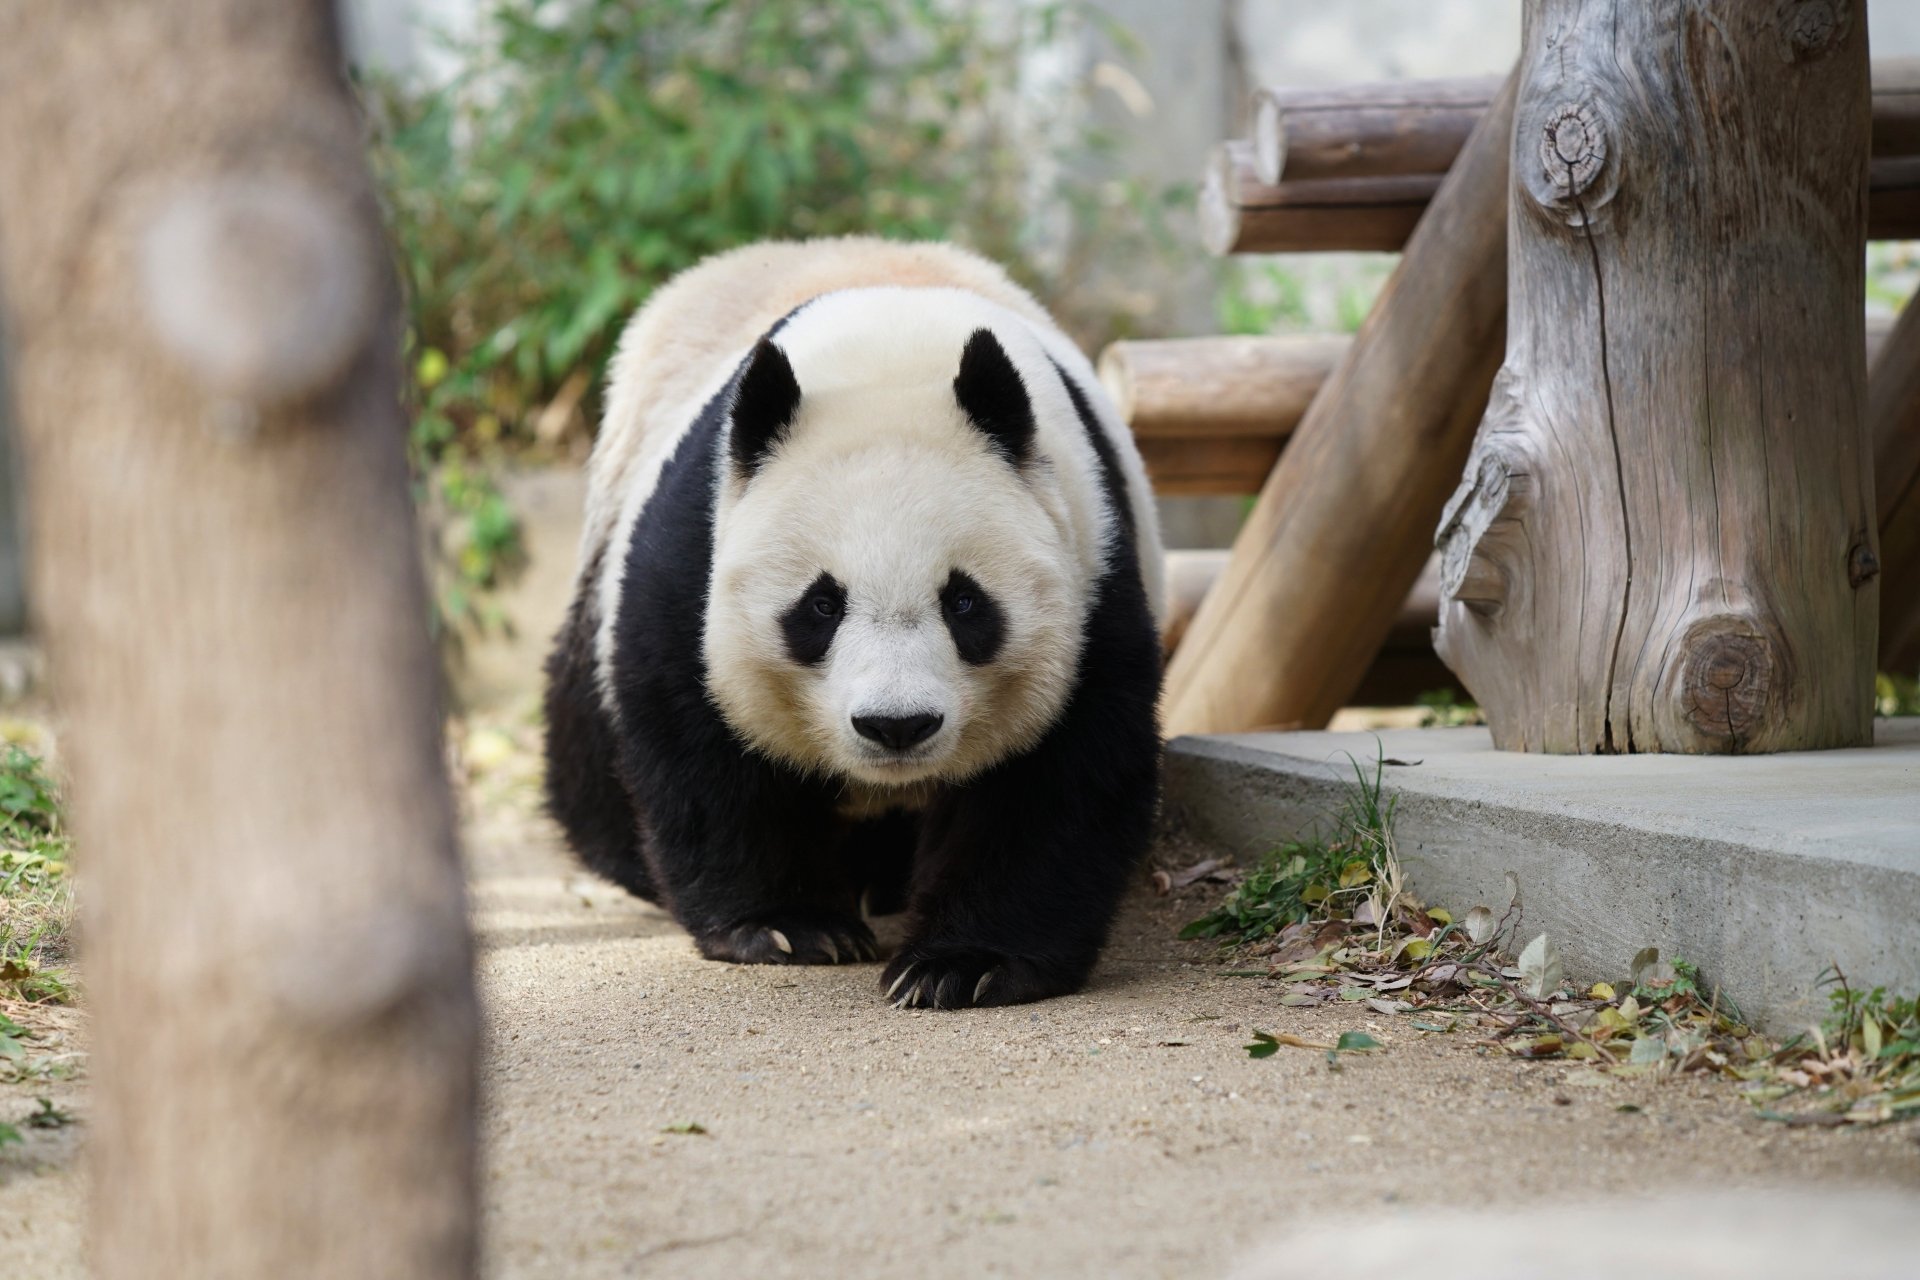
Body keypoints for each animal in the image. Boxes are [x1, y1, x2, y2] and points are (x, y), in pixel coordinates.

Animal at [543, 237, 1166, 1009]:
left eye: (964, 603)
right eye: (821, 605)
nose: (896, 726)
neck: (895, 350)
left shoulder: (1090, 562)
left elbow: (1061, 772)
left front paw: (963, 964)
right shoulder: (694, 546)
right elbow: (698, 734)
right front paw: (788, 927)